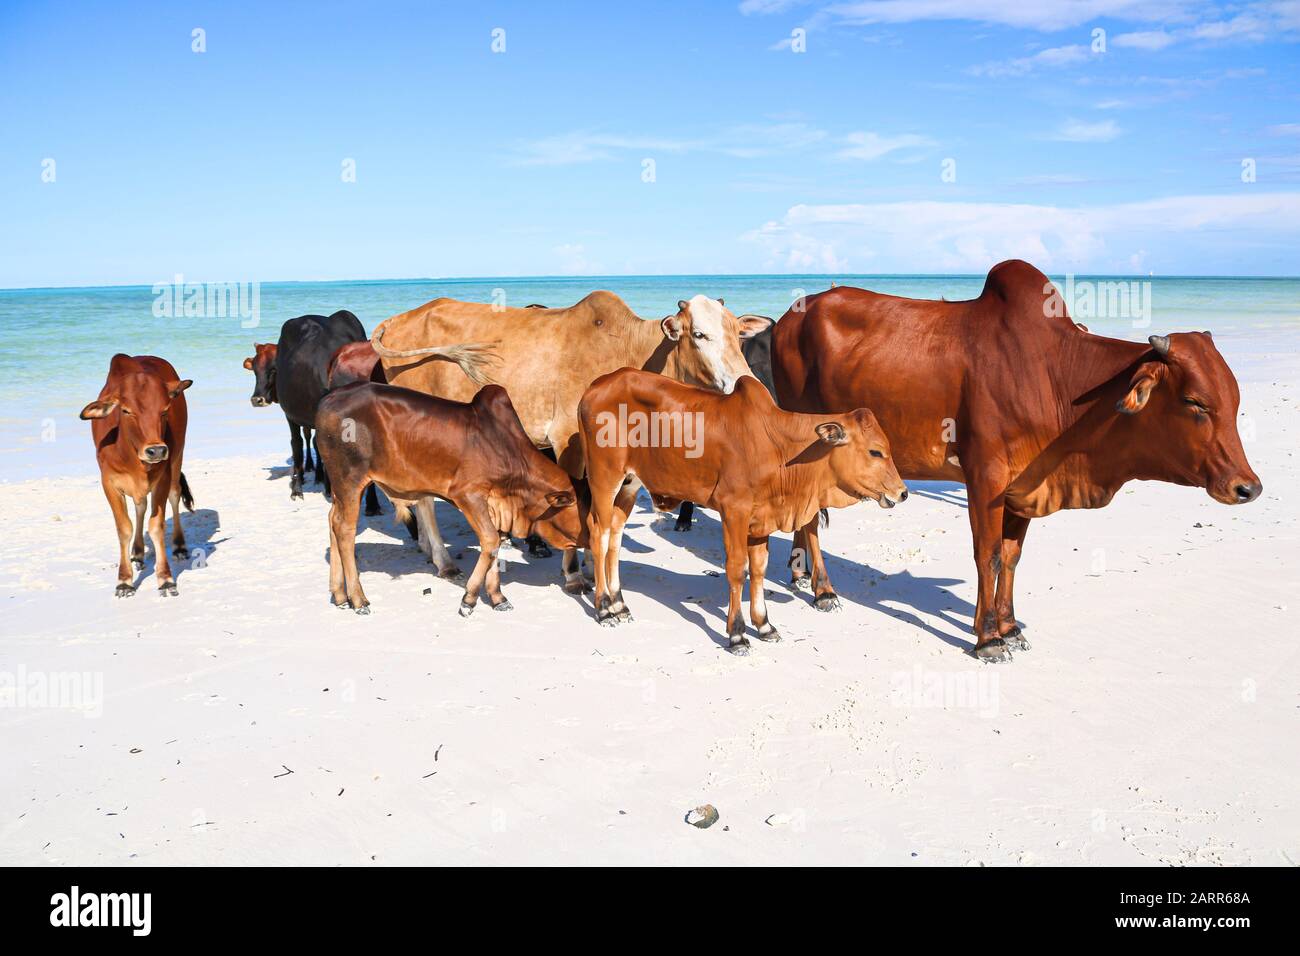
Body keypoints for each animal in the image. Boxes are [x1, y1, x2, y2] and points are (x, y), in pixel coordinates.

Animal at [79, 354, 195, 597]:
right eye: (125, 411)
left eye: (164, 410)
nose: (156, 451)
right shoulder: (109, 484)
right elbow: (124, 528)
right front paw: (124, 580)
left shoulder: (162, 479)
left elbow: (156, 526)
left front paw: (166, 579)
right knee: (140, 507)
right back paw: (138, 552)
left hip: (177, 458)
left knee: (175, 495)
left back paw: (179, 546)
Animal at [314, 383, 585, 616]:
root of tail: (328, 399)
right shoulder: (468, 494)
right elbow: (490, 541)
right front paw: (469, 600)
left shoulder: (494, 504)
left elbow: (495, 545)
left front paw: (498, 598)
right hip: (350, 481)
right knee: (344, 529)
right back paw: (359, 599)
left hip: (341, 489)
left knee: (332, 521)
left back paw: (340, 595)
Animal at [370, 292, 767, 590]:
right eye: (699, 334)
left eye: (738, 333)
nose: (743, 380)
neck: (629, 352)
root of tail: (400, 318)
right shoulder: (568, 442)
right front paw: (576, 573)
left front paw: (593, 566)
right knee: (424, 499)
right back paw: (443, 559)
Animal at [577, 370, 908, 655]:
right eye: (875, 451)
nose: (902, 492)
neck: (780, 447)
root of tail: (594, 386)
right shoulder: (733, 510)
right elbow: (738, 570)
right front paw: (737, 634)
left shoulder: (761, 519)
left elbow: (759, 568)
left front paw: (764, 625)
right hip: (605, 478)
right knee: (598, 534)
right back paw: (603, 607)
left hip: (630, 485)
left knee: (615, 536)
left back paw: (619, 603)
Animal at [770, 259, 1262, 661]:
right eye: (1194, 402)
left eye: (1234, 400)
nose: (1248, 487)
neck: (1055, 378)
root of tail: (790, 316)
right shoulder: (985, 479)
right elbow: (987, 555)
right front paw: (988, 638)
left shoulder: (1024, 486)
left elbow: (1011, 556)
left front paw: (1010, 627)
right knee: (811, 517)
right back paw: (823, 590)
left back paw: (802, 574)